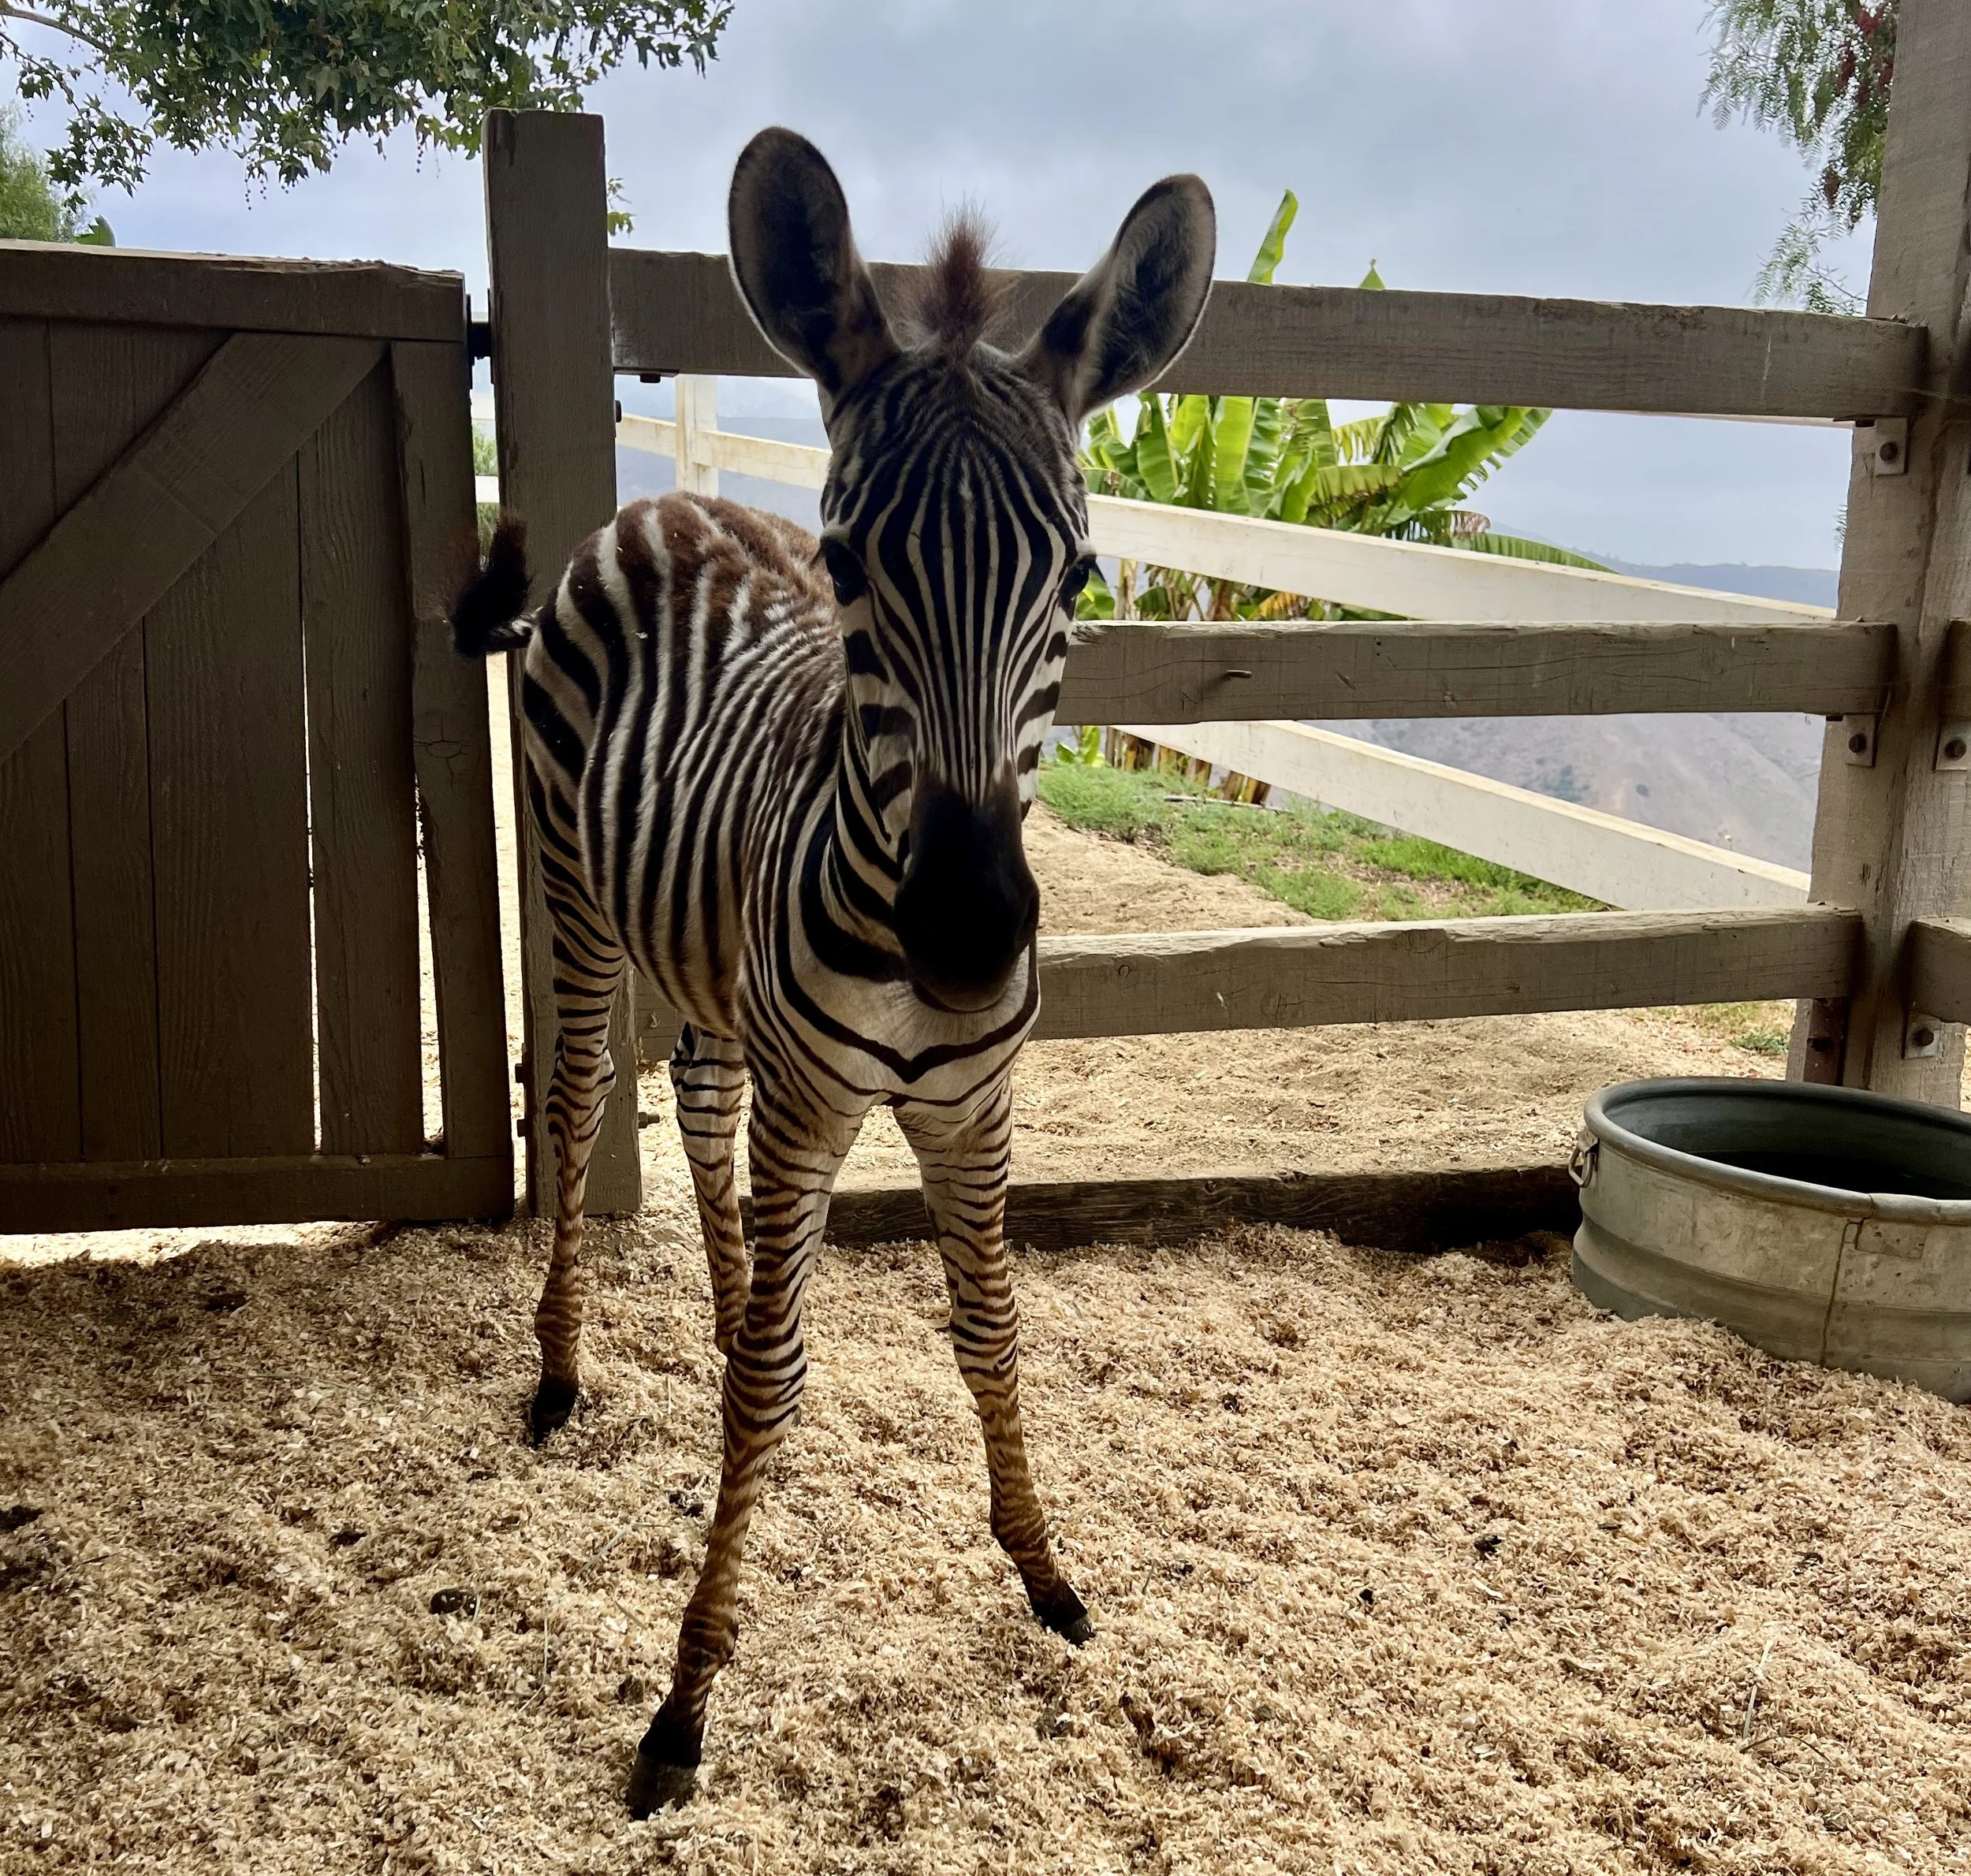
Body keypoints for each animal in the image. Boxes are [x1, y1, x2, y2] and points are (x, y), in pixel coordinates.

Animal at [452, 127, 1215, 1814]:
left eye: (1078, 575)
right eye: (856, 562)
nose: (970, 936)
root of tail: (666, 502)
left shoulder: (974, 1112)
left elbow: (990, 1335)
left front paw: (1044, 1571)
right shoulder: (821, 1104)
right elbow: (769, 1380)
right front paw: (682, 1706)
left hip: (708, 964)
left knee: (701, 1112)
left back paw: (719, 1297)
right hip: (576, 898)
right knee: (587, 1095)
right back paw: (559, 1372)